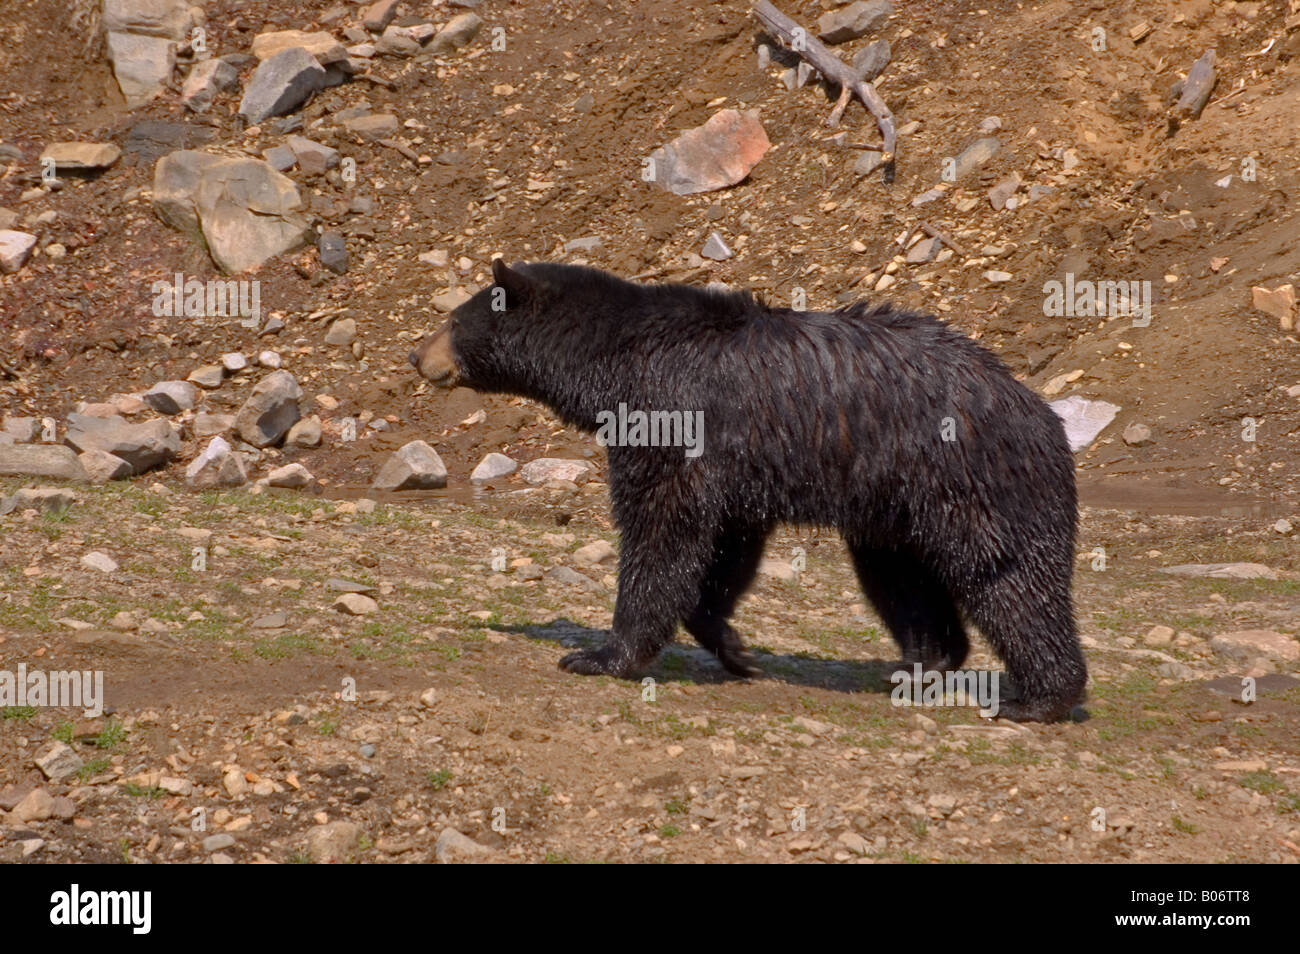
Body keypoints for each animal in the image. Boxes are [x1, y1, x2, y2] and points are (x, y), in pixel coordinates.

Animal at [410, 259, 1088, 722]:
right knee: (899, 574)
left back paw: (1040, 697)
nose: (417, 355)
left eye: (453, 319)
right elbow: (725, 547)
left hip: (973, 481)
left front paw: (603, 655)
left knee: (1009, 578)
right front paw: (736, 648)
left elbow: (663, 530)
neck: (612, 360)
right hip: (894, 502)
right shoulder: (734, 470)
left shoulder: (670, 421)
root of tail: (1043, 412)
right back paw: (924, 663)